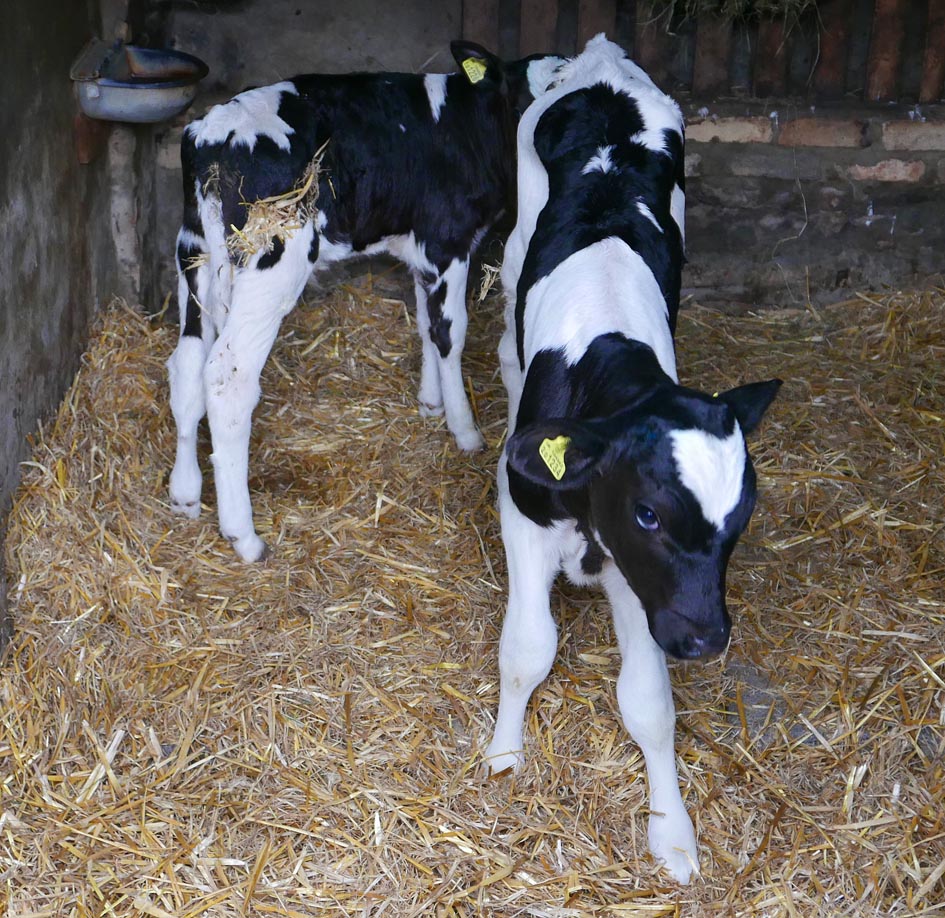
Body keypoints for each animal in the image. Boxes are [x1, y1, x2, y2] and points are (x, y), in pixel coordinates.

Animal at [167, 43, 563, 562]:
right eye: (522, 106)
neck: (466, 127)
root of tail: (213, 133)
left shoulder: (421, 250)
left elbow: (425, 323)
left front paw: (430, 403)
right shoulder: (447, 241)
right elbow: (449, 333)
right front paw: (464, 429)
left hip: (193, 254)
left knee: (186, 363)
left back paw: (185, 492)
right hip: (270, 262)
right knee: (226, 377)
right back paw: (243, 535)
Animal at [484, 35, 781, 883]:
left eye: (742, 516)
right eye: (647, 510)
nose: (705, 640)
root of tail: (600, 55)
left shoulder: (640, 581)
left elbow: (648, 702)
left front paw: (671, 834)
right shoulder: (522, 520)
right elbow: (526, 650)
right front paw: (503, 756)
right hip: (513, 242)